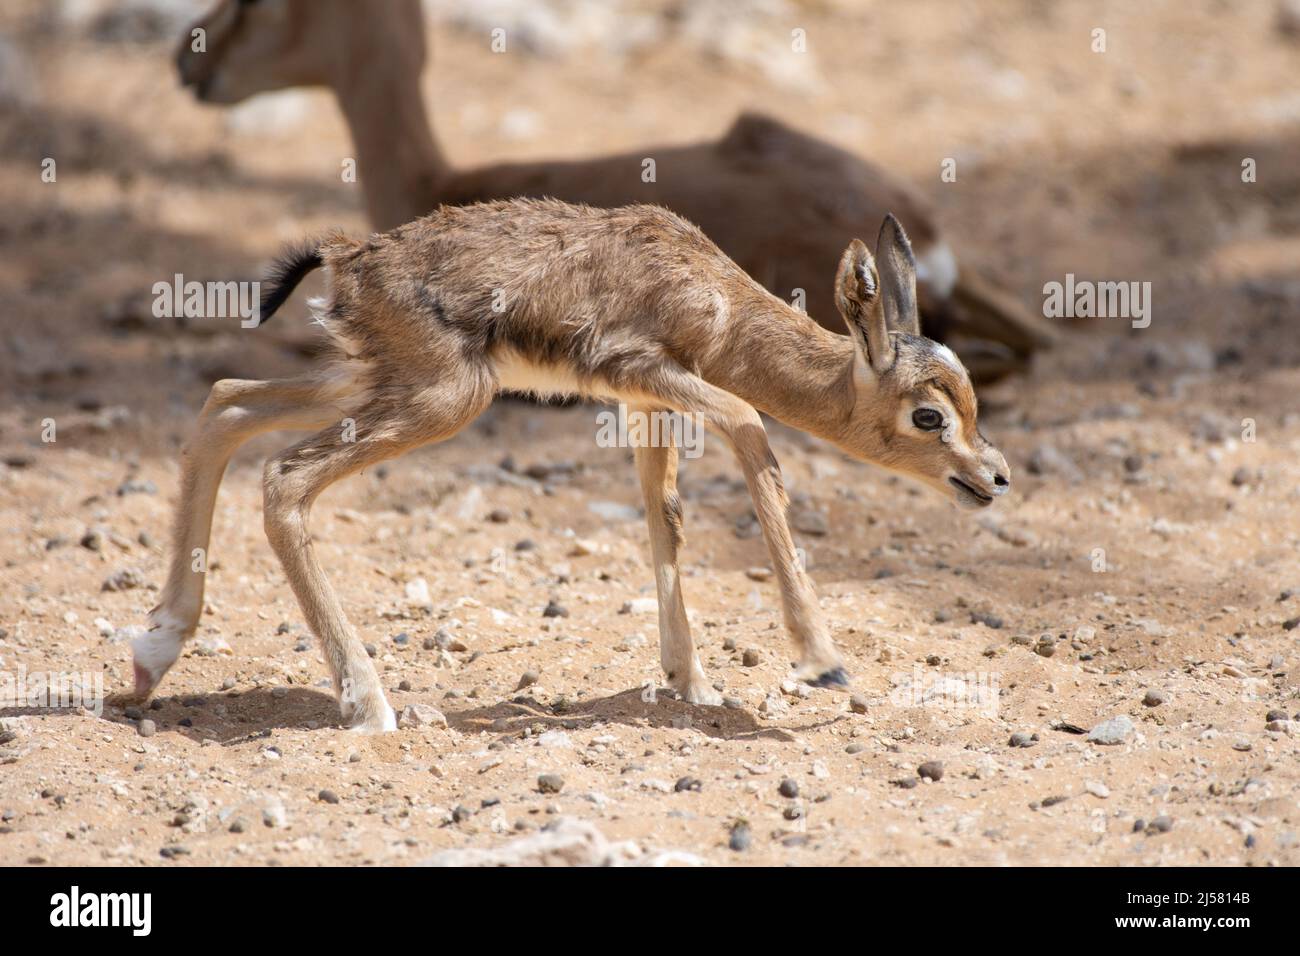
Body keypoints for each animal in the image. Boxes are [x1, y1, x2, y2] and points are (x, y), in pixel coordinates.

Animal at [133, 199, 1011, 733]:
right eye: (929, 416)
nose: (994, 477)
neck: (717, 304)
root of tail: (351, 257)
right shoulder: (654, 376)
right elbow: (753, 431)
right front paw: (820, 661)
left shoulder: (647, 406)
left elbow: (666, 518)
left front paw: (691, 684)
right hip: (439, 400)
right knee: (282, 478)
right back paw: (369, 705)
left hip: (370, 384)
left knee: (225, 405)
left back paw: (153, 653)